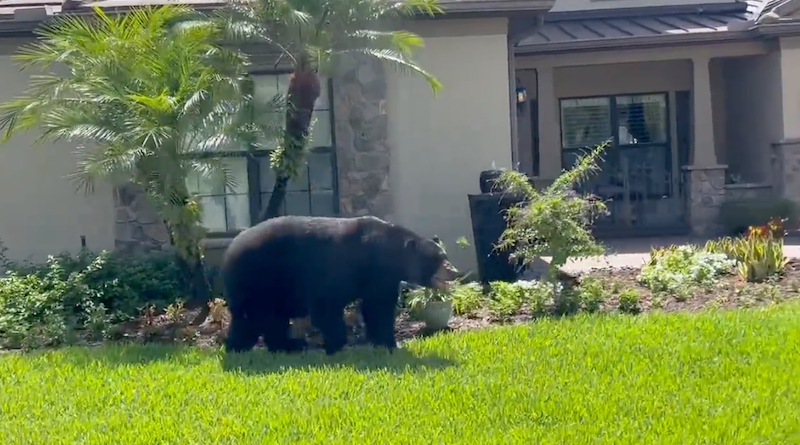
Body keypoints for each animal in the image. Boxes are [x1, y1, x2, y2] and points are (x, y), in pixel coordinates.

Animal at [221, 215, 460, 356]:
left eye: (445, 255)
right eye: (438, 258)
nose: (454, 271)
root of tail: (229, 251)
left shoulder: (381, 279)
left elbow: (378, 308)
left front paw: (387, 342)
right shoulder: (338, 268)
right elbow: (327, 304)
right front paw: (336, 344)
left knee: (262, 319)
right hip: (261, 278)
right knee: (261, 317)